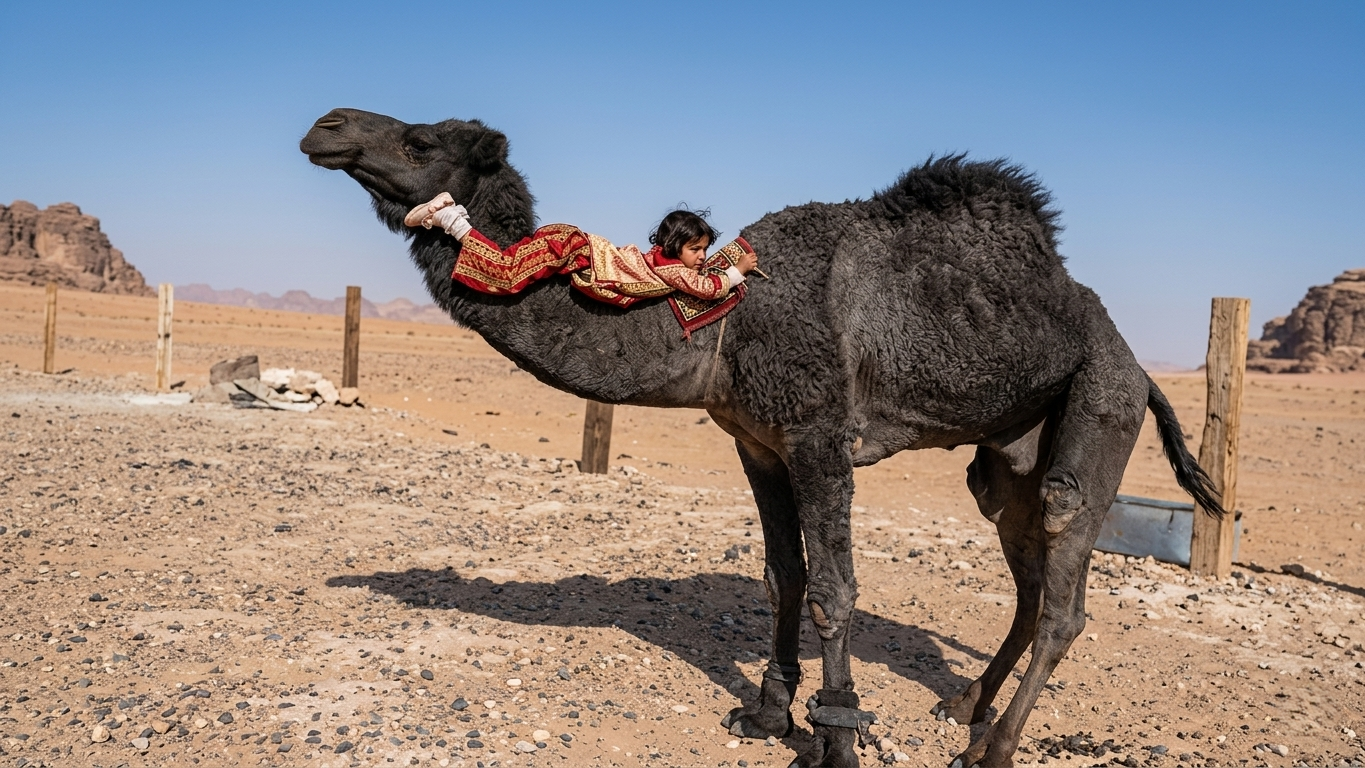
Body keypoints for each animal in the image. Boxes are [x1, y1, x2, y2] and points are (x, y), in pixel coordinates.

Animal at [301, 108, 1222, 768]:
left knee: (1065, 590)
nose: (326, 125)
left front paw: (835, 742)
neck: (720, 325)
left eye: (419, 138)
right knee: (1026, 571)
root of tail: (1137, 362)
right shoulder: (757, 443)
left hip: (1099, 405)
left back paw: (988, 751)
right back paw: (964, 705)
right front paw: (766, 715)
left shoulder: (817, 436)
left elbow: (832, 590)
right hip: (1008, 451)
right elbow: (782, 577)